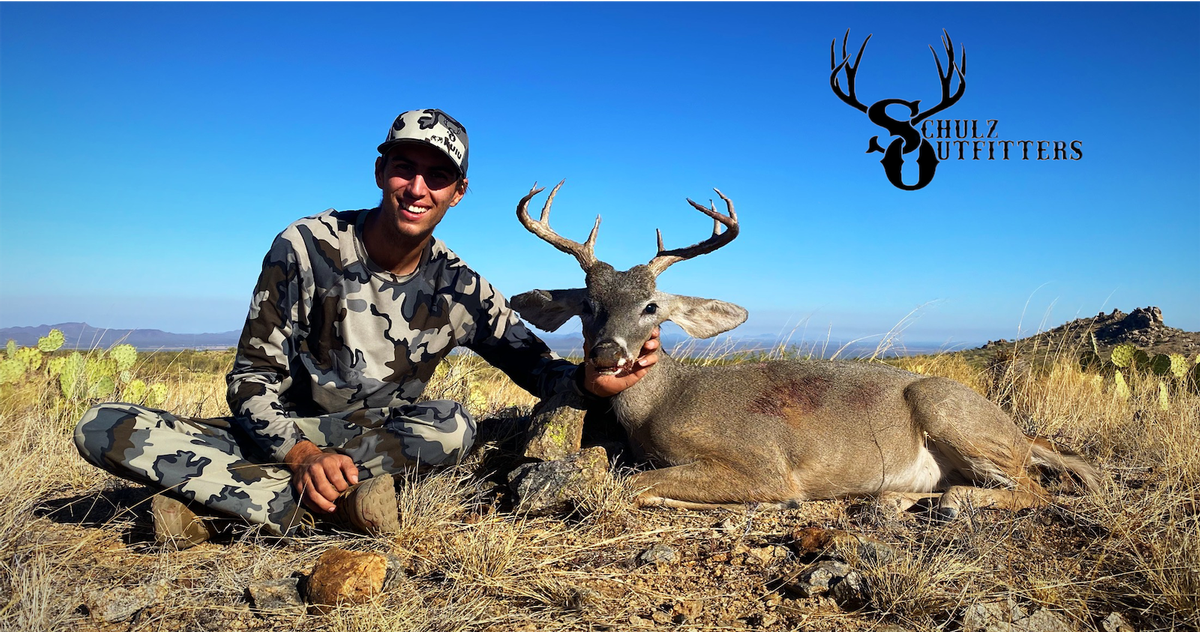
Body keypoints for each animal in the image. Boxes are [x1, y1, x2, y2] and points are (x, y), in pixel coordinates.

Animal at [509, 182, 1101, 518]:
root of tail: (1021, 434)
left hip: (947, 408)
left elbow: (630, 484)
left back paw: (953, 503)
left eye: (652, 307)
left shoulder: (761, 461)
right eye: (588, 304)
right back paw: (896, 498)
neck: (660, 405)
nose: (608, 353)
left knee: (1037, 488)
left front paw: (781, 500)